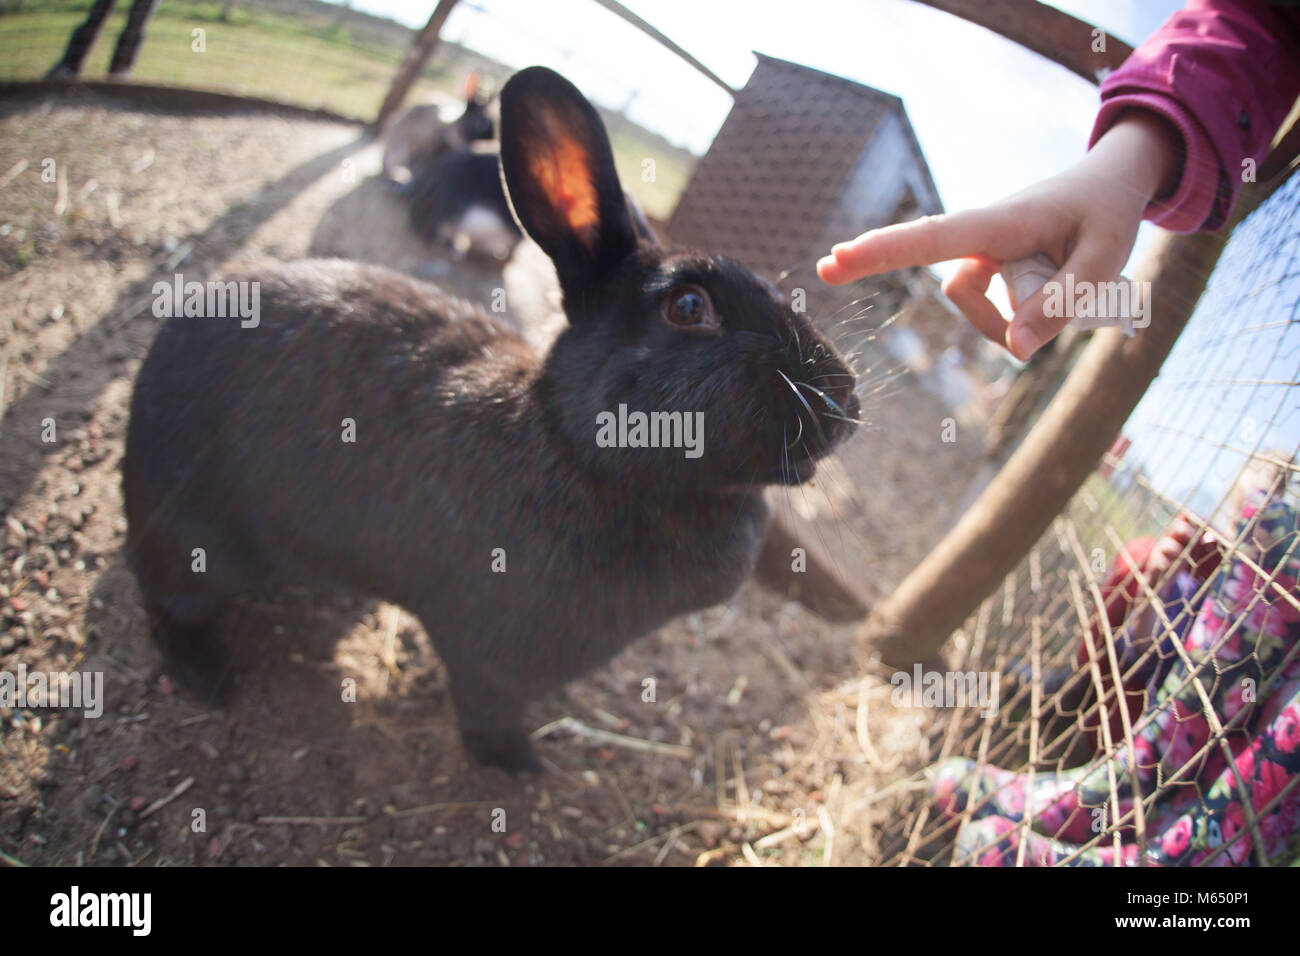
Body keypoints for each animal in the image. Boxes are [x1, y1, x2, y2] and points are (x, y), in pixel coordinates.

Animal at [121, 66, 860, 774]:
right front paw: (519, 763)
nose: (845, 402)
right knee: (166, 601)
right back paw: (209, 676)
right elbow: (484, 706)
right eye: (687, 307)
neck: (578, 447)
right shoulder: (489, 652)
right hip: (199, 549)